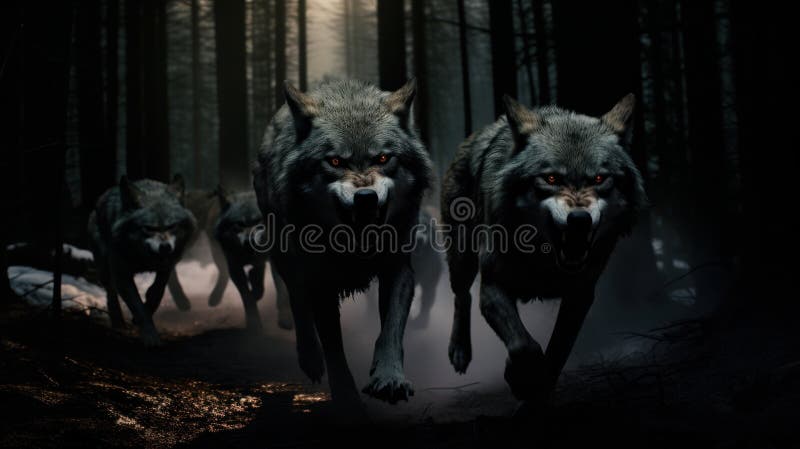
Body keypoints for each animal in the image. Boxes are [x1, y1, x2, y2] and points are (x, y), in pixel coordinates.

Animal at [88, 176, 196, 346]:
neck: (143, 258)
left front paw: (147, 307)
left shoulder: (166, 266)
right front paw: (150, 337)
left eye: (171, 226)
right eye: (149, 228)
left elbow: (157, 292)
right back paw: (118, 322)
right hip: (105, 269)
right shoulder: (122, 275)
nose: (165, 247)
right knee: (110, 293)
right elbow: (138, 307)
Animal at [253, 79, 433, 410]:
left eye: (383, 158)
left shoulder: (398, 268)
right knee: (297, 300)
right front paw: (347, 398)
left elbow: (391, 330)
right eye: (335, 161)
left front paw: (389, 378)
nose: (366, 198)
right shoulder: (321, 282)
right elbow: (334, 348)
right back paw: (309, 358)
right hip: (286, 258)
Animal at [442, 94, 647, 405]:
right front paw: (521, 377)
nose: (579, 219)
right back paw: (460, 351)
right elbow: (523, 345)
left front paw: (536, 387)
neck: (543, 260)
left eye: (600, 179)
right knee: (461, 295)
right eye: (551, 179)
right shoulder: (492, 288)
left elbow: (557, 353)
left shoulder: (580, 296)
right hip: (462, 260)